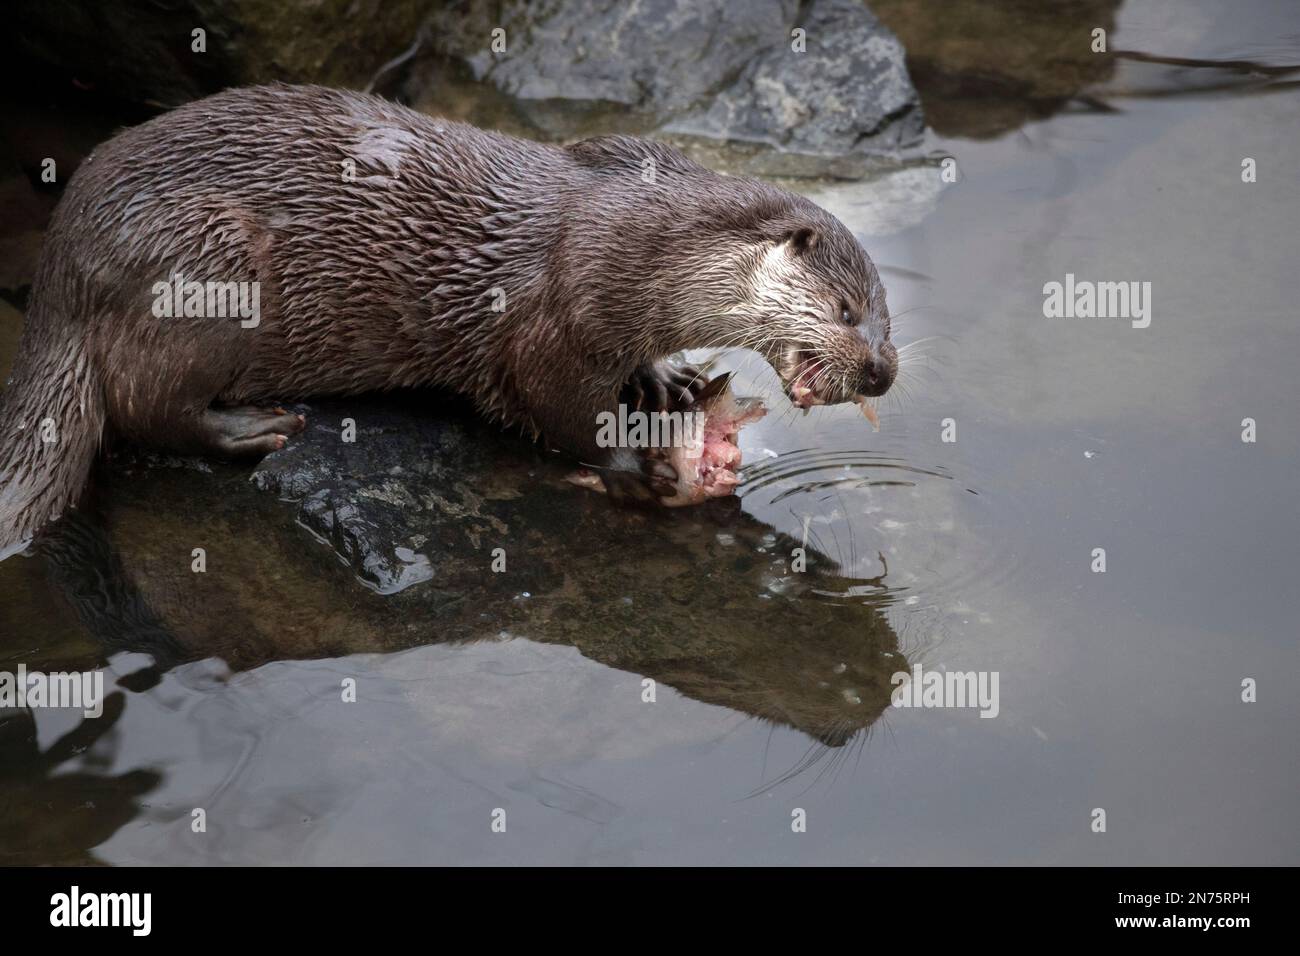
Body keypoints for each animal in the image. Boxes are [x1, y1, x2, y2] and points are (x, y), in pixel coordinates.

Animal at [0, 84, 895, 553]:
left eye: (887, 317)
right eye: (847, 310)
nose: (884, 369)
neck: (647, 242)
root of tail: (61, 273)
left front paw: (665, 379)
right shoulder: (553, 318)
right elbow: (554, 407)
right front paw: (641, 460)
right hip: (204, 259)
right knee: (146, 406)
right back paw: (254, 429)